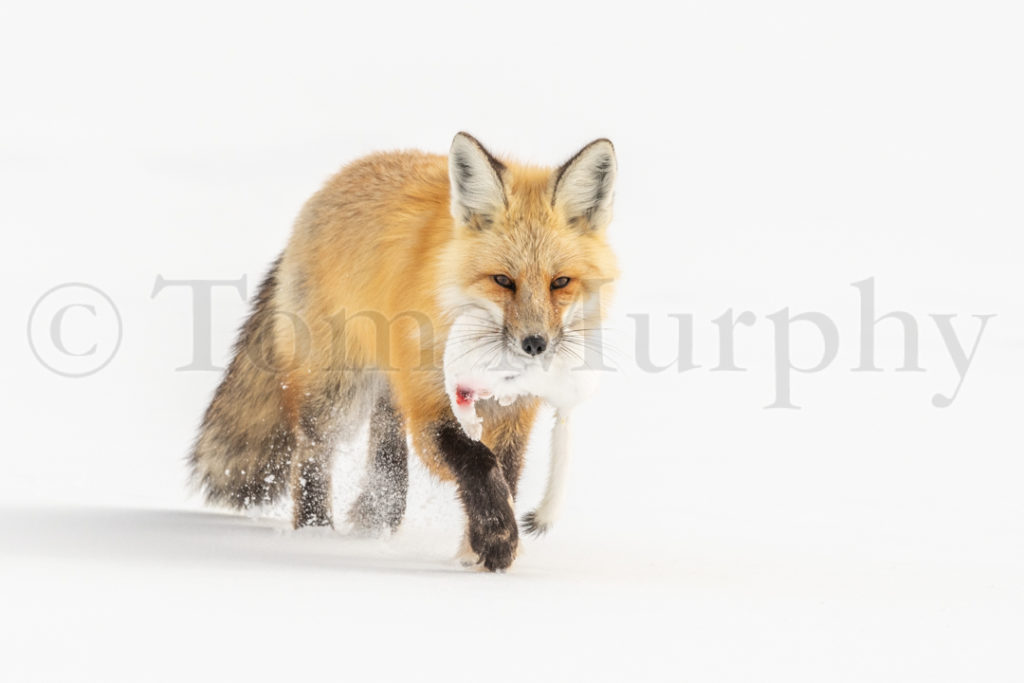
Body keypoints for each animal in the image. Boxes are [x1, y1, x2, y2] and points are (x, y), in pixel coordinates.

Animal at [190, 132, 619, 571]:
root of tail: (332, 184)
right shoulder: (430, 405)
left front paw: (477, 552)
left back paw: (375, 520)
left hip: (386, 385)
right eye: (502, 280)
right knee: (311, 455)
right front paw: (495, 539)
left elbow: (506, 475)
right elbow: (479, 463)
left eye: (560, 282)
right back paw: (316, 534)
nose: (535, 345)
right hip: (335, 391)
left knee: (385, 444)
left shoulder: (515, 414)